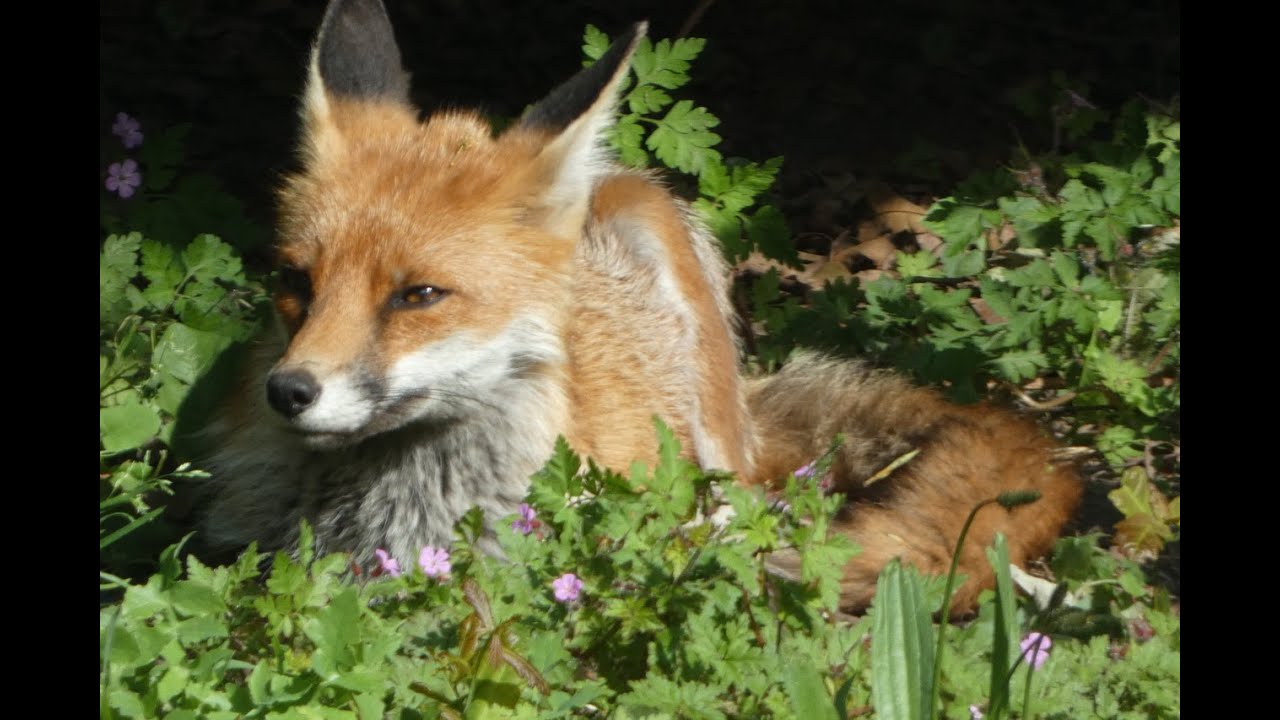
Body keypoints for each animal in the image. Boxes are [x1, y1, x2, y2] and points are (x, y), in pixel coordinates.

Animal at [200, 0, 1082, 615]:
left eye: (418, 295)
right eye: (295, 281)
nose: (290, 391)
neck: (391, 513)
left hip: (661, 245)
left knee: (741, 492)